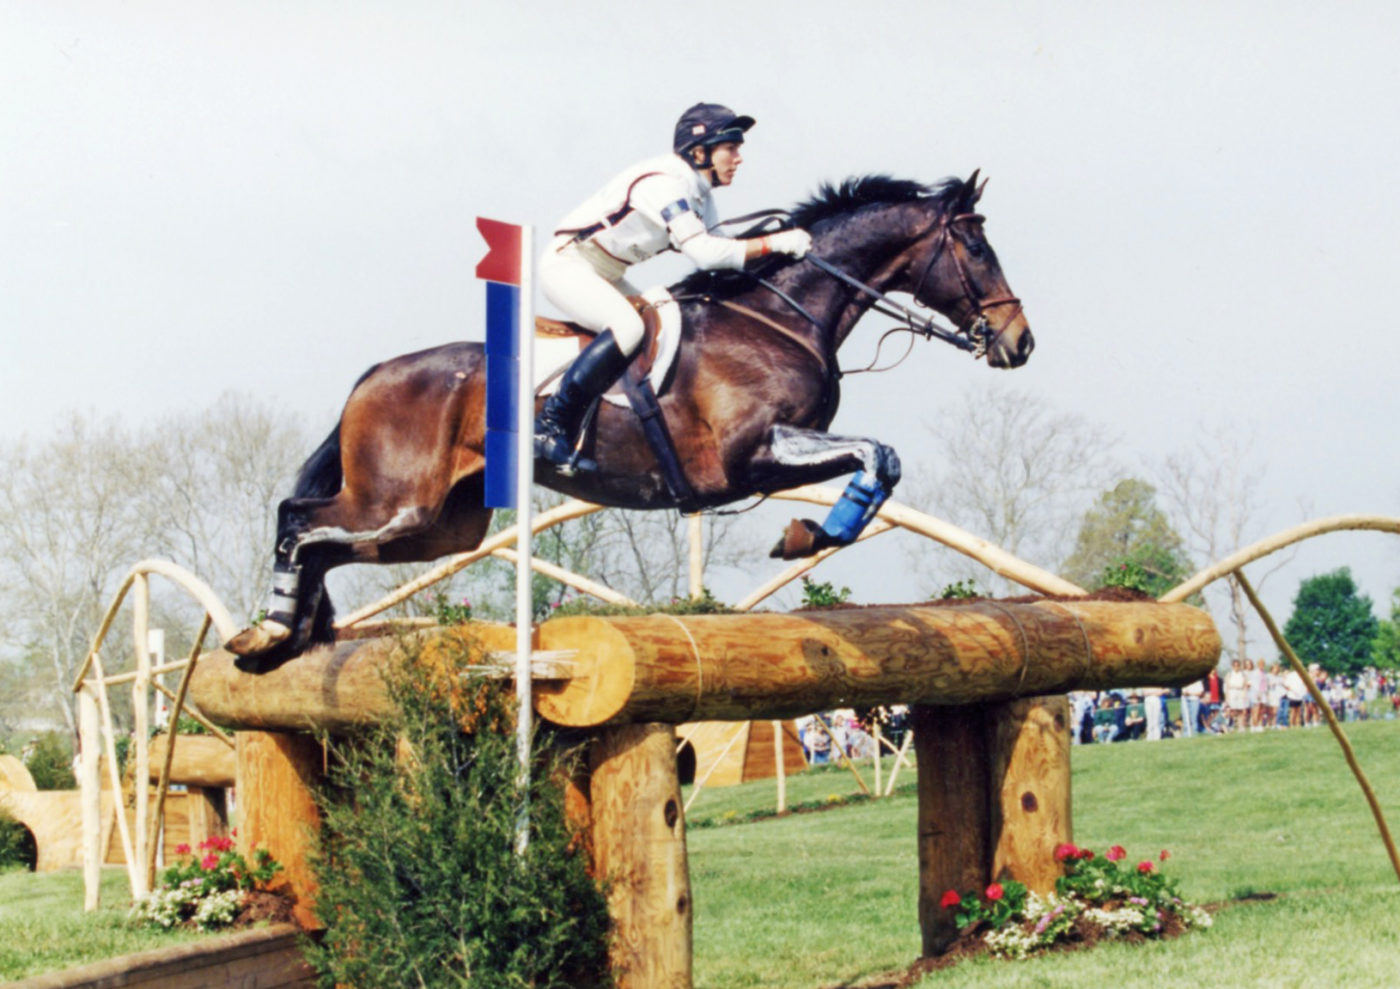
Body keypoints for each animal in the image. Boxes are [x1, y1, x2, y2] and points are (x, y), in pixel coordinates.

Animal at [226, 172, 1033, 663]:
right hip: (399, 505)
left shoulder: (770, 460)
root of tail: (372, 376)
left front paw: (809, 532)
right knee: (300, 521)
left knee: (324, 540)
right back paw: (270, 630)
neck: (779, 318)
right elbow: (878, 455)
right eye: (975, 245)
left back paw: (291, 636)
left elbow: (878, 463)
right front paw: (807, 535)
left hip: (443, 528)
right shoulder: (750, 454)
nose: (1020, 342)